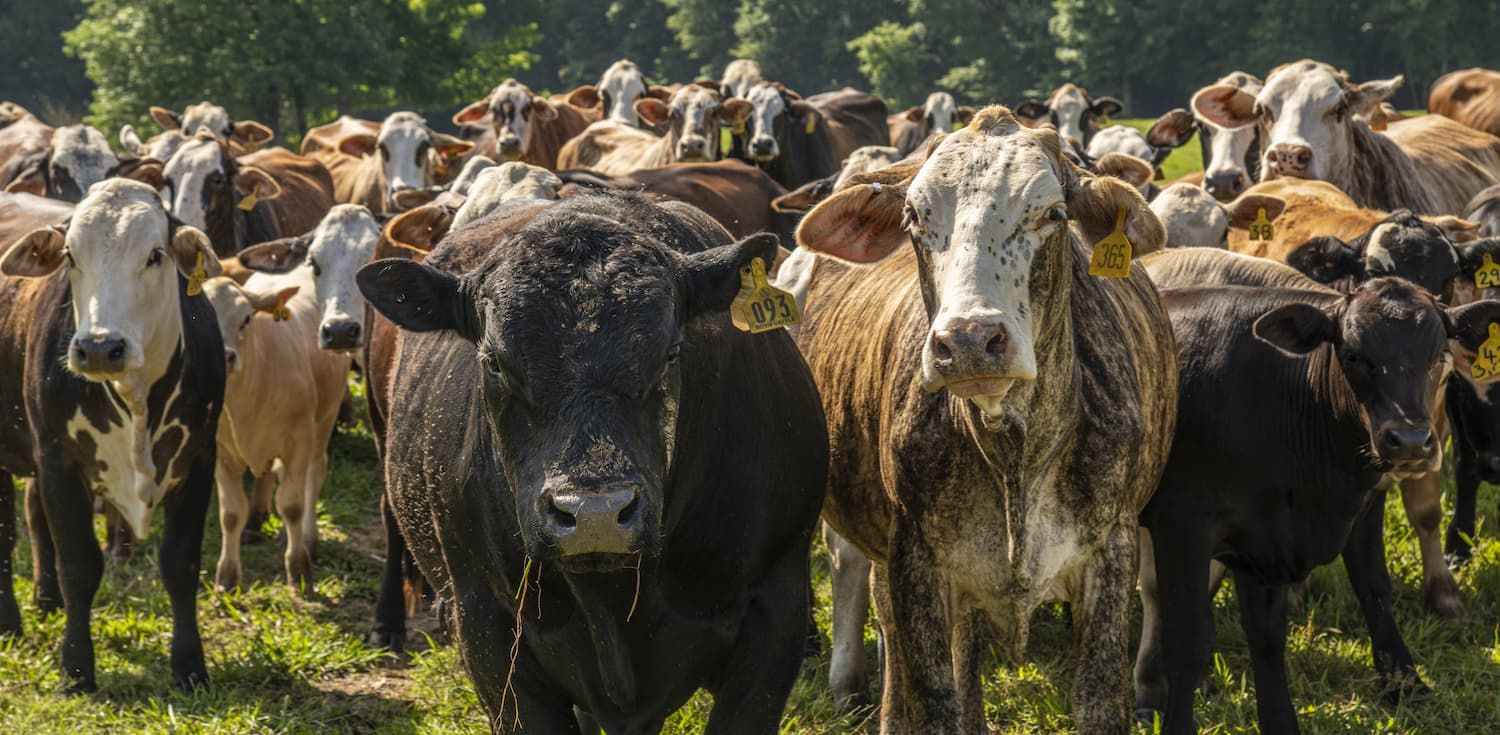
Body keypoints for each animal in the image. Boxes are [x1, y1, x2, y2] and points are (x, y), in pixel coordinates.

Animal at [0, 179, 225, 691]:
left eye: (156, 254)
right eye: (69, 255)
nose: (100, 347)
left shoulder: (201, 458)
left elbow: (181, 564)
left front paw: (189, 666)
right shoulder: (59, 461)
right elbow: (80, 565)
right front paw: (77, 668)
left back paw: (43, 602)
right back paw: (8, 622)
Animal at [200, 204, 380, 595]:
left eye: (246, 319)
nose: (224, 357)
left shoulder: (299, 439)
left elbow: (294, 504)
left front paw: (298, 566)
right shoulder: (221, 453)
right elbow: (230, 513)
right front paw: (227, 577)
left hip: (323, 421)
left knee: (314, 473)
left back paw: (308, 541)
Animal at [784, 106, 1177, 732]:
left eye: (1054, 213)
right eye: (913, 217)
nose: (968, 341)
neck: (1016, 457)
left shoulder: (1112, 554)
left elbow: (1096, 700)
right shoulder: (917, 562)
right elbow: (936, 700)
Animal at [1135, 248, 1500, 733]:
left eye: (1439, 353)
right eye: (1353, 354)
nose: (1409, 441)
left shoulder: (1288, 529)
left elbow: (1353, 597)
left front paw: (1403, 683)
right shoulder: (1183, 524)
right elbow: (1187, 636)